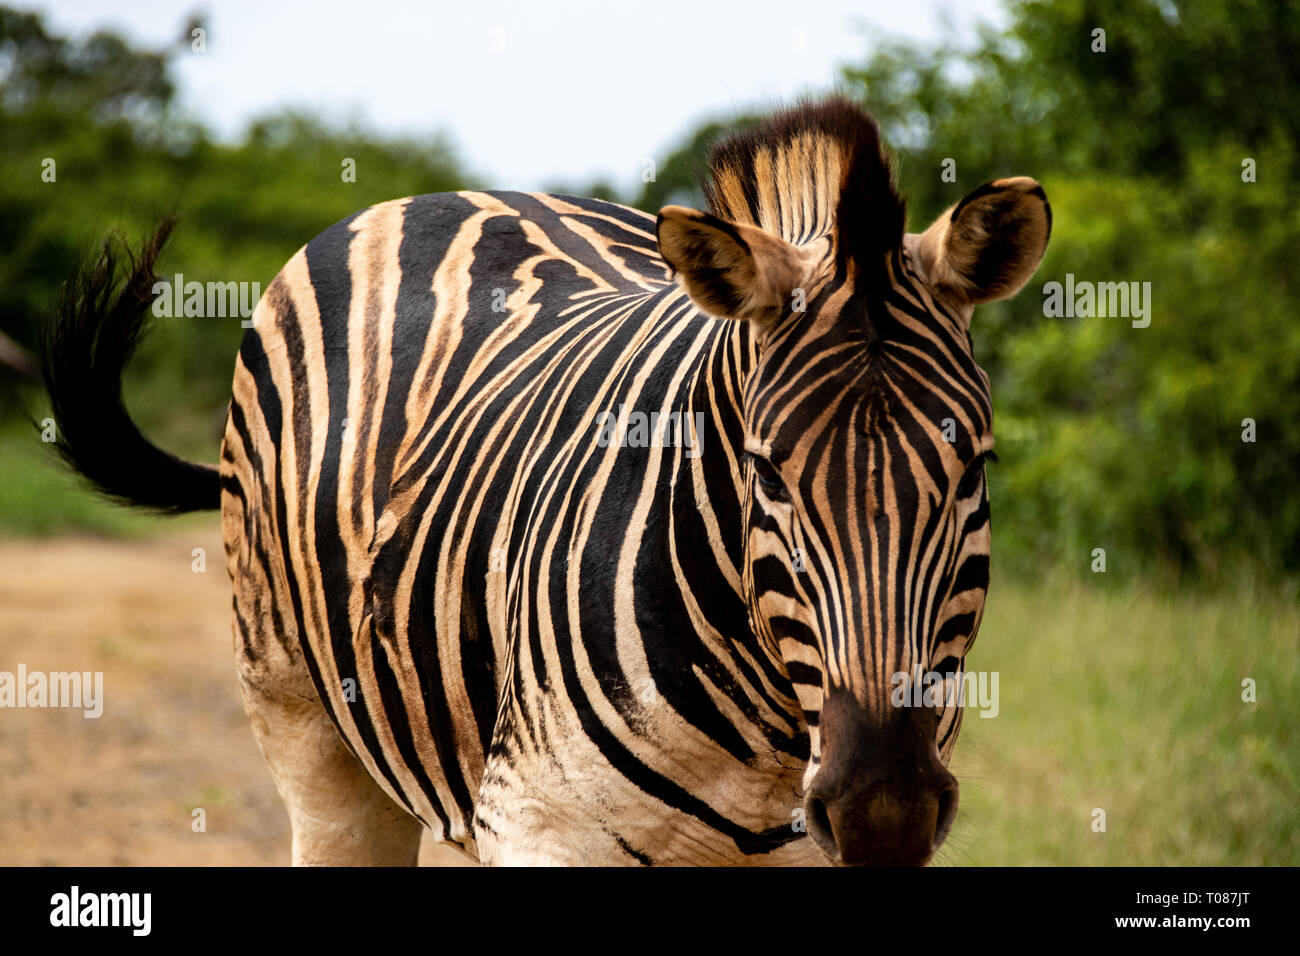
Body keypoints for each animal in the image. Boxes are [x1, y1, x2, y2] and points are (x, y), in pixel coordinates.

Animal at [42, 97, 1050, 866]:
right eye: (766, 471)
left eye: (976, 466)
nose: (884, 814)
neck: (766, 735)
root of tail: (456, 191)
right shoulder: (542, 824)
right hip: (302, 720)